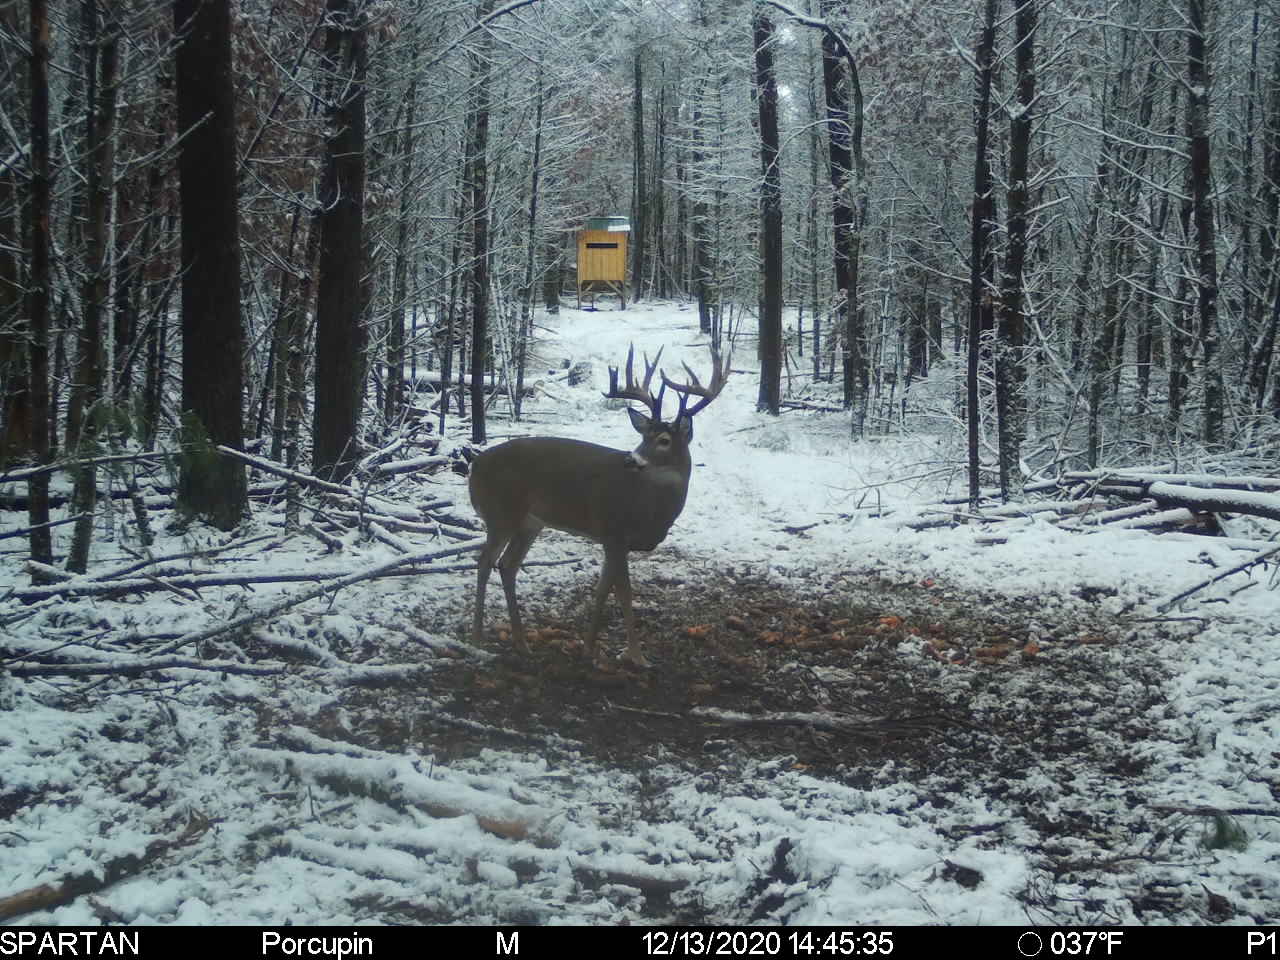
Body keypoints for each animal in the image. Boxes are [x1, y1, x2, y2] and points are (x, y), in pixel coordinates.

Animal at [468, 342, 730, 666]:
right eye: (643, 435)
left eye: (664, 440)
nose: (632, 459)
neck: (649, 508)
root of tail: (475, 466)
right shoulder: (614, 532)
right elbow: (625, 593)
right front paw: (637, 656)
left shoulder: (611, 541)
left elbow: (603, 590)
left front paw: (588, 648)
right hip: (500, 513)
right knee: (484, 561)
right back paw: (477, 639)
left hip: (530, 522)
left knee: (507, 566)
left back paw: (521, 643)